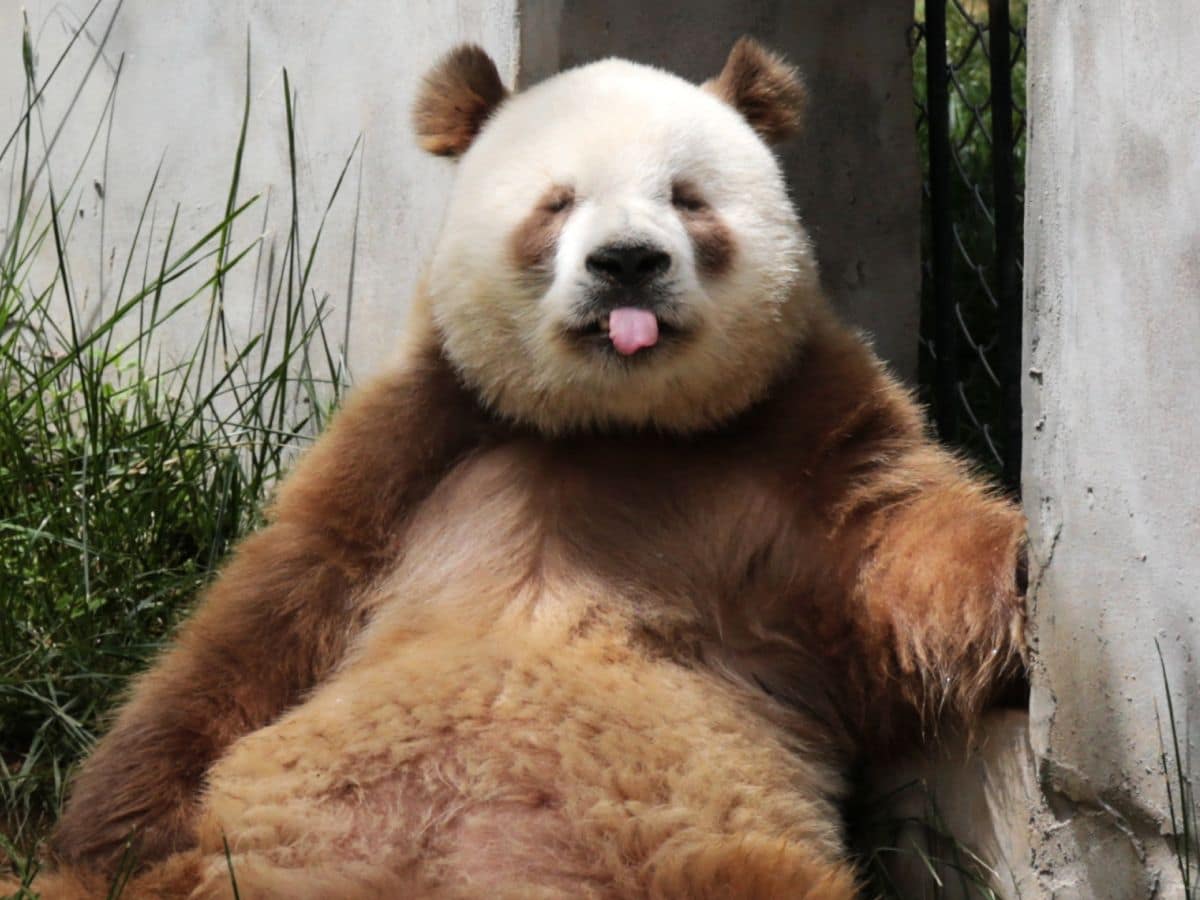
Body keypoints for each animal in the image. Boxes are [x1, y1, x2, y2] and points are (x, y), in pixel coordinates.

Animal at [31, 38, 1027, 899]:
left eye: (687, 198)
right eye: (558, 202)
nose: (628, 264)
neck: (612, 427)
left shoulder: (799, 434)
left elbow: (902, 557)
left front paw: (1023, 568)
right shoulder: (421, 434)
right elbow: (269, 609)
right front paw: (106, 832)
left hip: (701, 847)